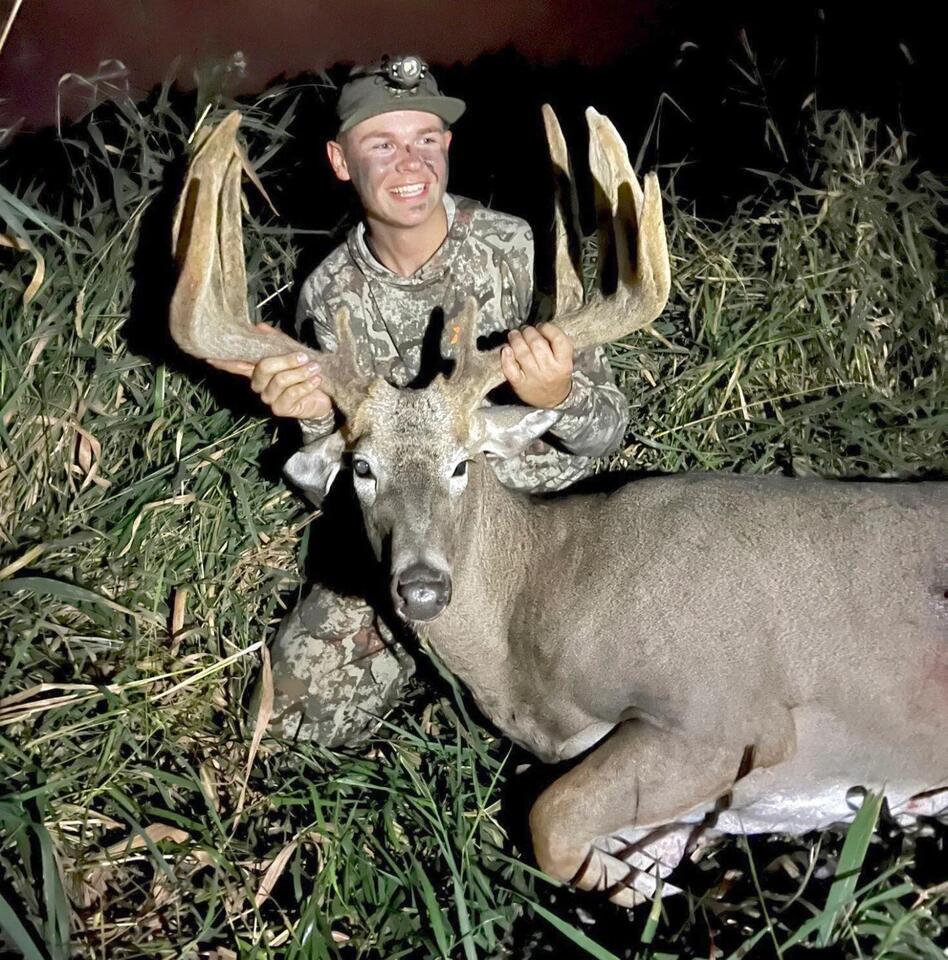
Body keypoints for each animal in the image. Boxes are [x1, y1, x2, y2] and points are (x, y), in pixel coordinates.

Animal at [169, 108, 948, 907]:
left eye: (462, 464)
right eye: (362, 469)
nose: (422, 587)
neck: (535, 613)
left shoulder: (724, 712)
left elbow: (548, 819)